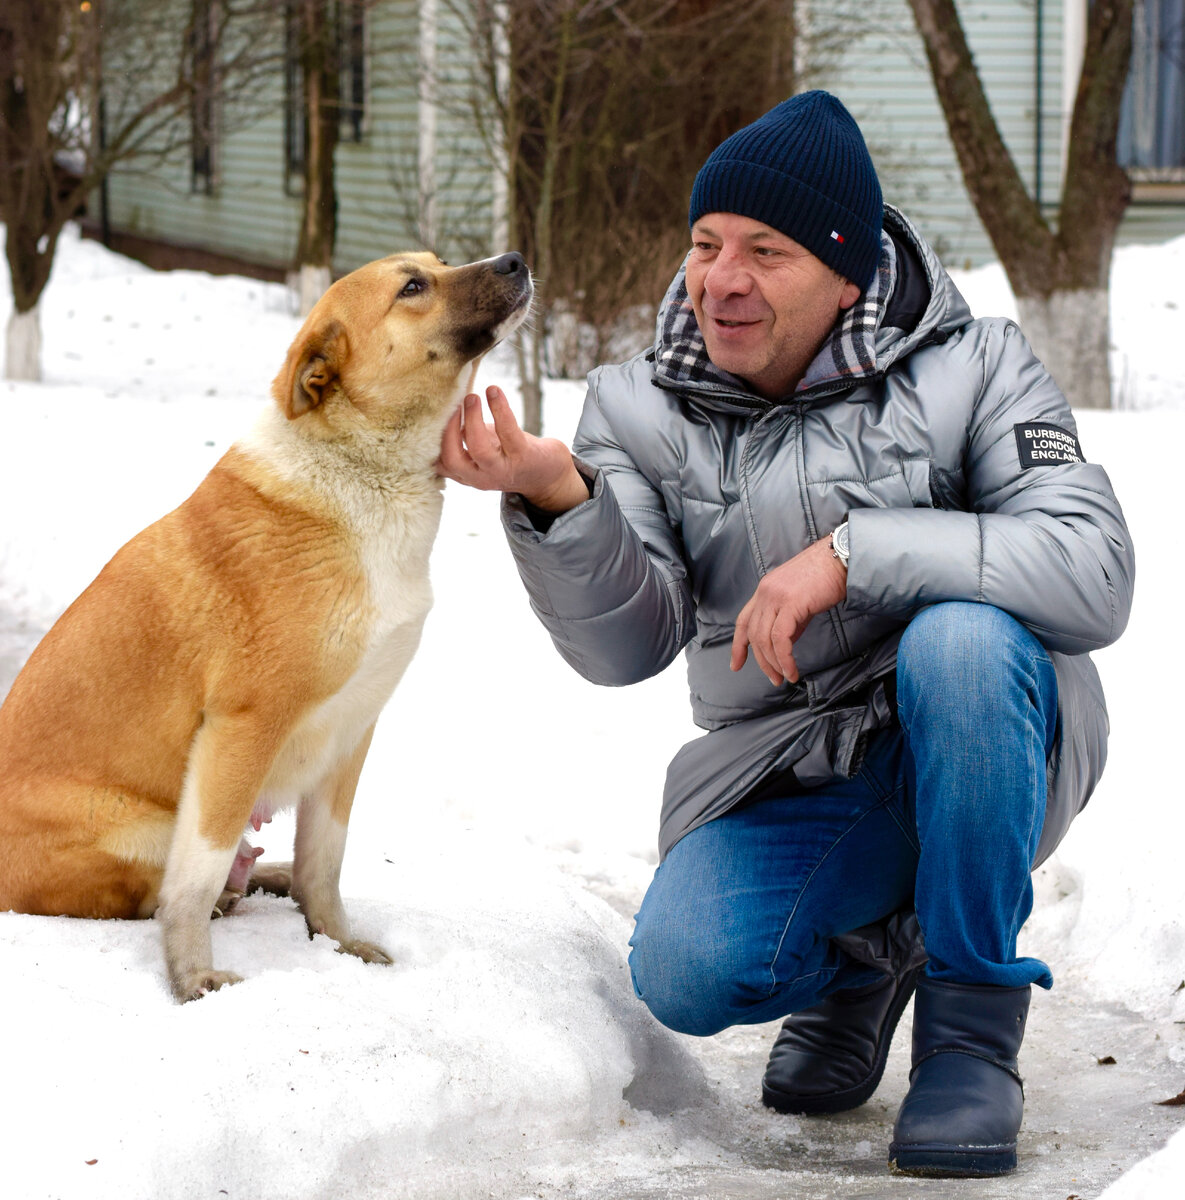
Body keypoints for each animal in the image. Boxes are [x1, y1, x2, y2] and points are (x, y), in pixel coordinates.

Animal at [0, 248, 532, 998]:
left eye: (440, 262)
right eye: (412, 286)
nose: (515, 259)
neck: (360, 471)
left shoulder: (352, 732)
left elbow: (324, 862)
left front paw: (336, 941)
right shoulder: (241, 731)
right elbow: (193, 882)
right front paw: (192, 979)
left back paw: (269, 878)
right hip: (144, 828)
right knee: (173, 888)